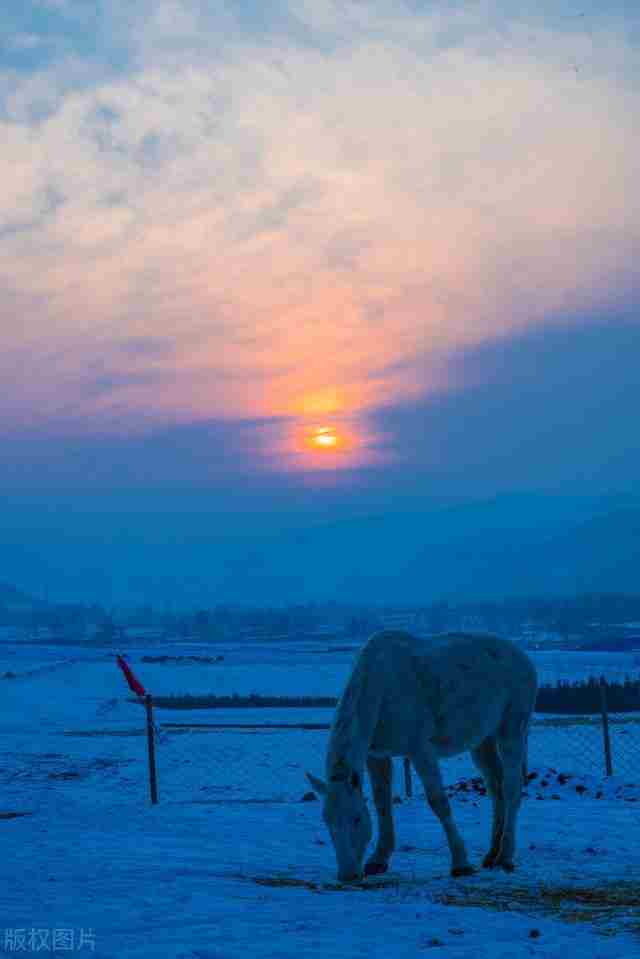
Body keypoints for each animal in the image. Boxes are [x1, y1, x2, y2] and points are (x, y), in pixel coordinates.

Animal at [308, 632, 536, 884]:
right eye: (327, 820)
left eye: (357, 818)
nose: (348, 875)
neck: (381, 689)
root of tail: (523, 657)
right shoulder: (376, 756)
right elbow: (381, 802)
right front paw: (378, 859)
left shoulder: (421, 751)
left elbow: (438, 802)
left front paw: (461, 863)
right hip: (482, 741)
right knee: (496, 789)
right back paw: (491, 855)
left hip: (511, 731)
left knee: (511, 789)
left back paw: (505, 857)